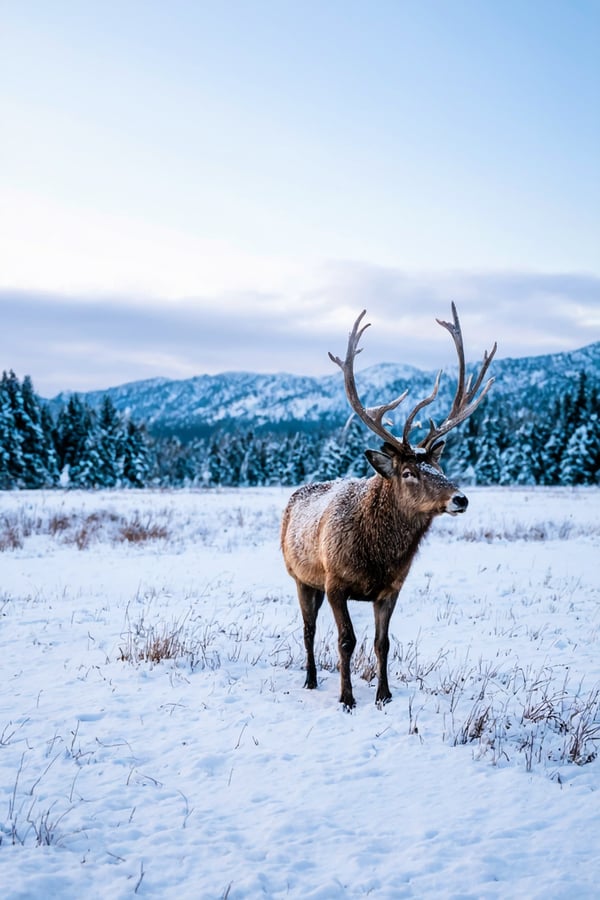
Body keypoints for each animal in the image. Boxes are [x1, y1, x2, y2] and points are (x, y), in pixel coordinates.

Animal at [280, 304, 496, 708]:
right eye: (409, 471)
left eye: (440, 466)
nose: (460, 498)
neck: (378, 555)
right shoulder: (335, 582)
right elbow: (346, 640)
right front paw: (347, 698)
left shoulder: (392, 588)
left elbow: (383, 643)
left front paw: (384, 695)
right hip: (300, 577)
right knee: (308, 629)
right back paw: (311, 679)